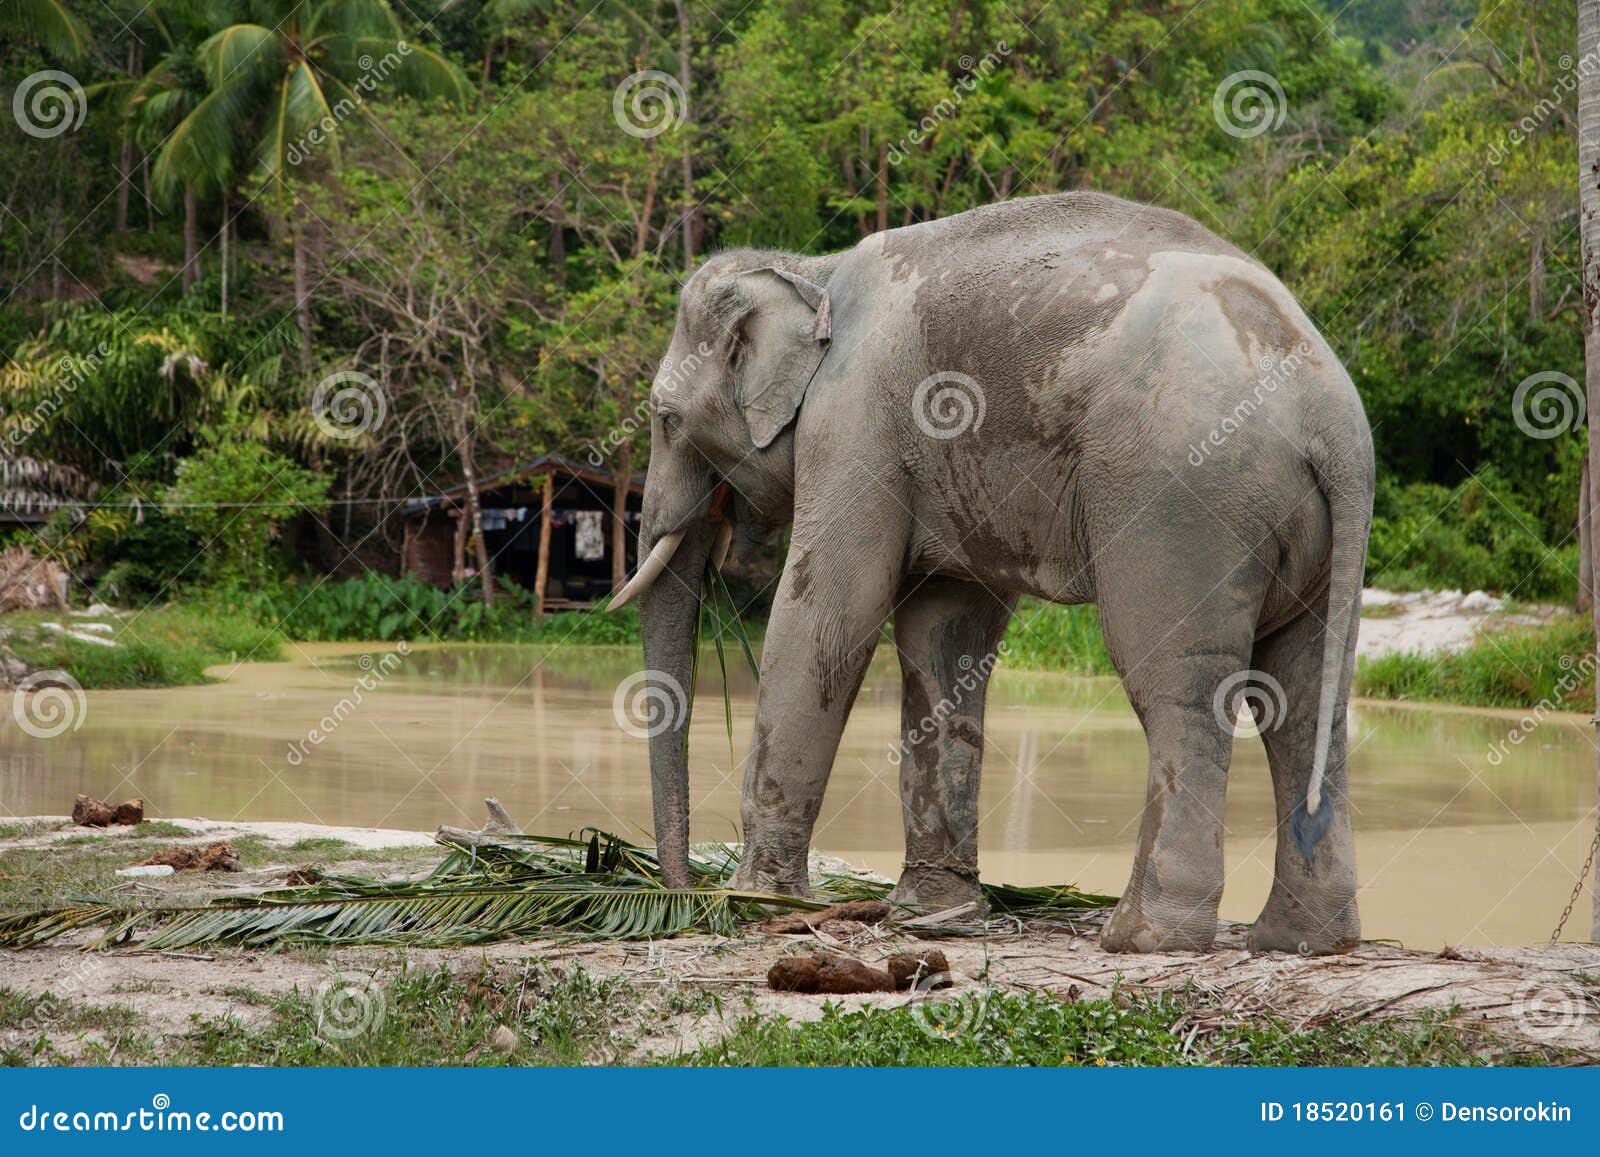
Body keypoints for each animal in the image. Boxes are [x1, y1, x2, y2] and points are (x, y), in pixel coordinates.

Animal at [610, 190, 1373, 955]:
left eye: (664, 417)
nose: (682, 891)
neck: (812, 270)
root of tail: (1330, 416)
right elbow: (944, 632)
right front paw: (932, 916)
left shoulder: (854, 419)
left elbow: (830, 612)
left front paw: (758, 901)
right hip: (1308, 532)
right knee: (1305, 694)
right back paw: (1299, 940)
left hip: (1180, 499)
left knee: (1178, 684)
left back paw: (1141, 936)